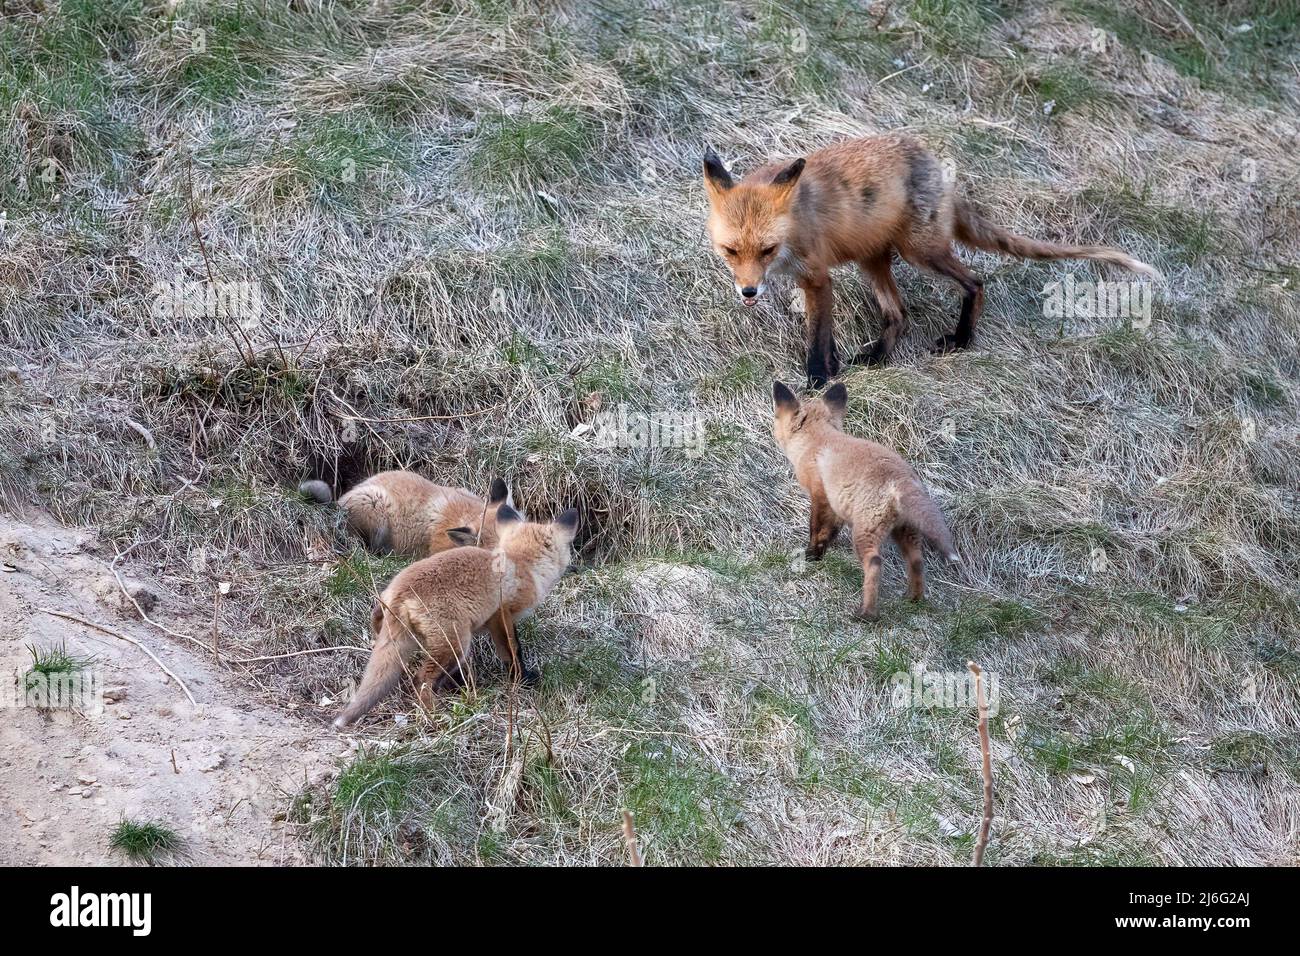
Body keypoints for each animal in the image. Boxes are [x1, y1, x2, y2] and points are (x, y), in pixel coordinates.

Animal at [332, 502, 578, 729]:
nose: (576, 568)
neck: (521, 562)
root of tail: (398, 591)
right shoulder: (501, 615)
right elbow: (513, 651)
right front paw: (521, 679)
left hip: (412, 638)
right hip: (456, 643)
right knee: (421, 680)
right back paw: (436, 716)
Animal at [704, 134, 1161, 386]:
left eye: (766, 250)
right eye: (731, 251)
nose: (748, 291)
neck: (794, 227)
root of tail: (939, 171)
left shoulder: (817, 276)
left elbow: (816, 340)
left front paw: (817, 383)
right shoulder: (815, 279)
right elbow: (827, 337)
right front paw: (834, 371)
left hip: (920, 253)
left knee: (975, 282)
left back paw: (961, 340)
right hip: (873, 261)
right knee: (899, 314)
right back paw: (878, 359)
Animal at [772, 380, 960, 621]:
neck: (818, 441)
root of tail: (901, 479)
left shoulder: (820, 496)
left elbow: (816, 530)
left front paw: (811, 555)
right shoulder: (838, 506)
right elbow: (829, 533)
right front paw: (821, 554)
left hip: (864, 532)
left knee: (875, 563)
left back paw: (866, 613)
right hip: (904, 532)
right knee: (917, 561)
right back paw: (914, 599)